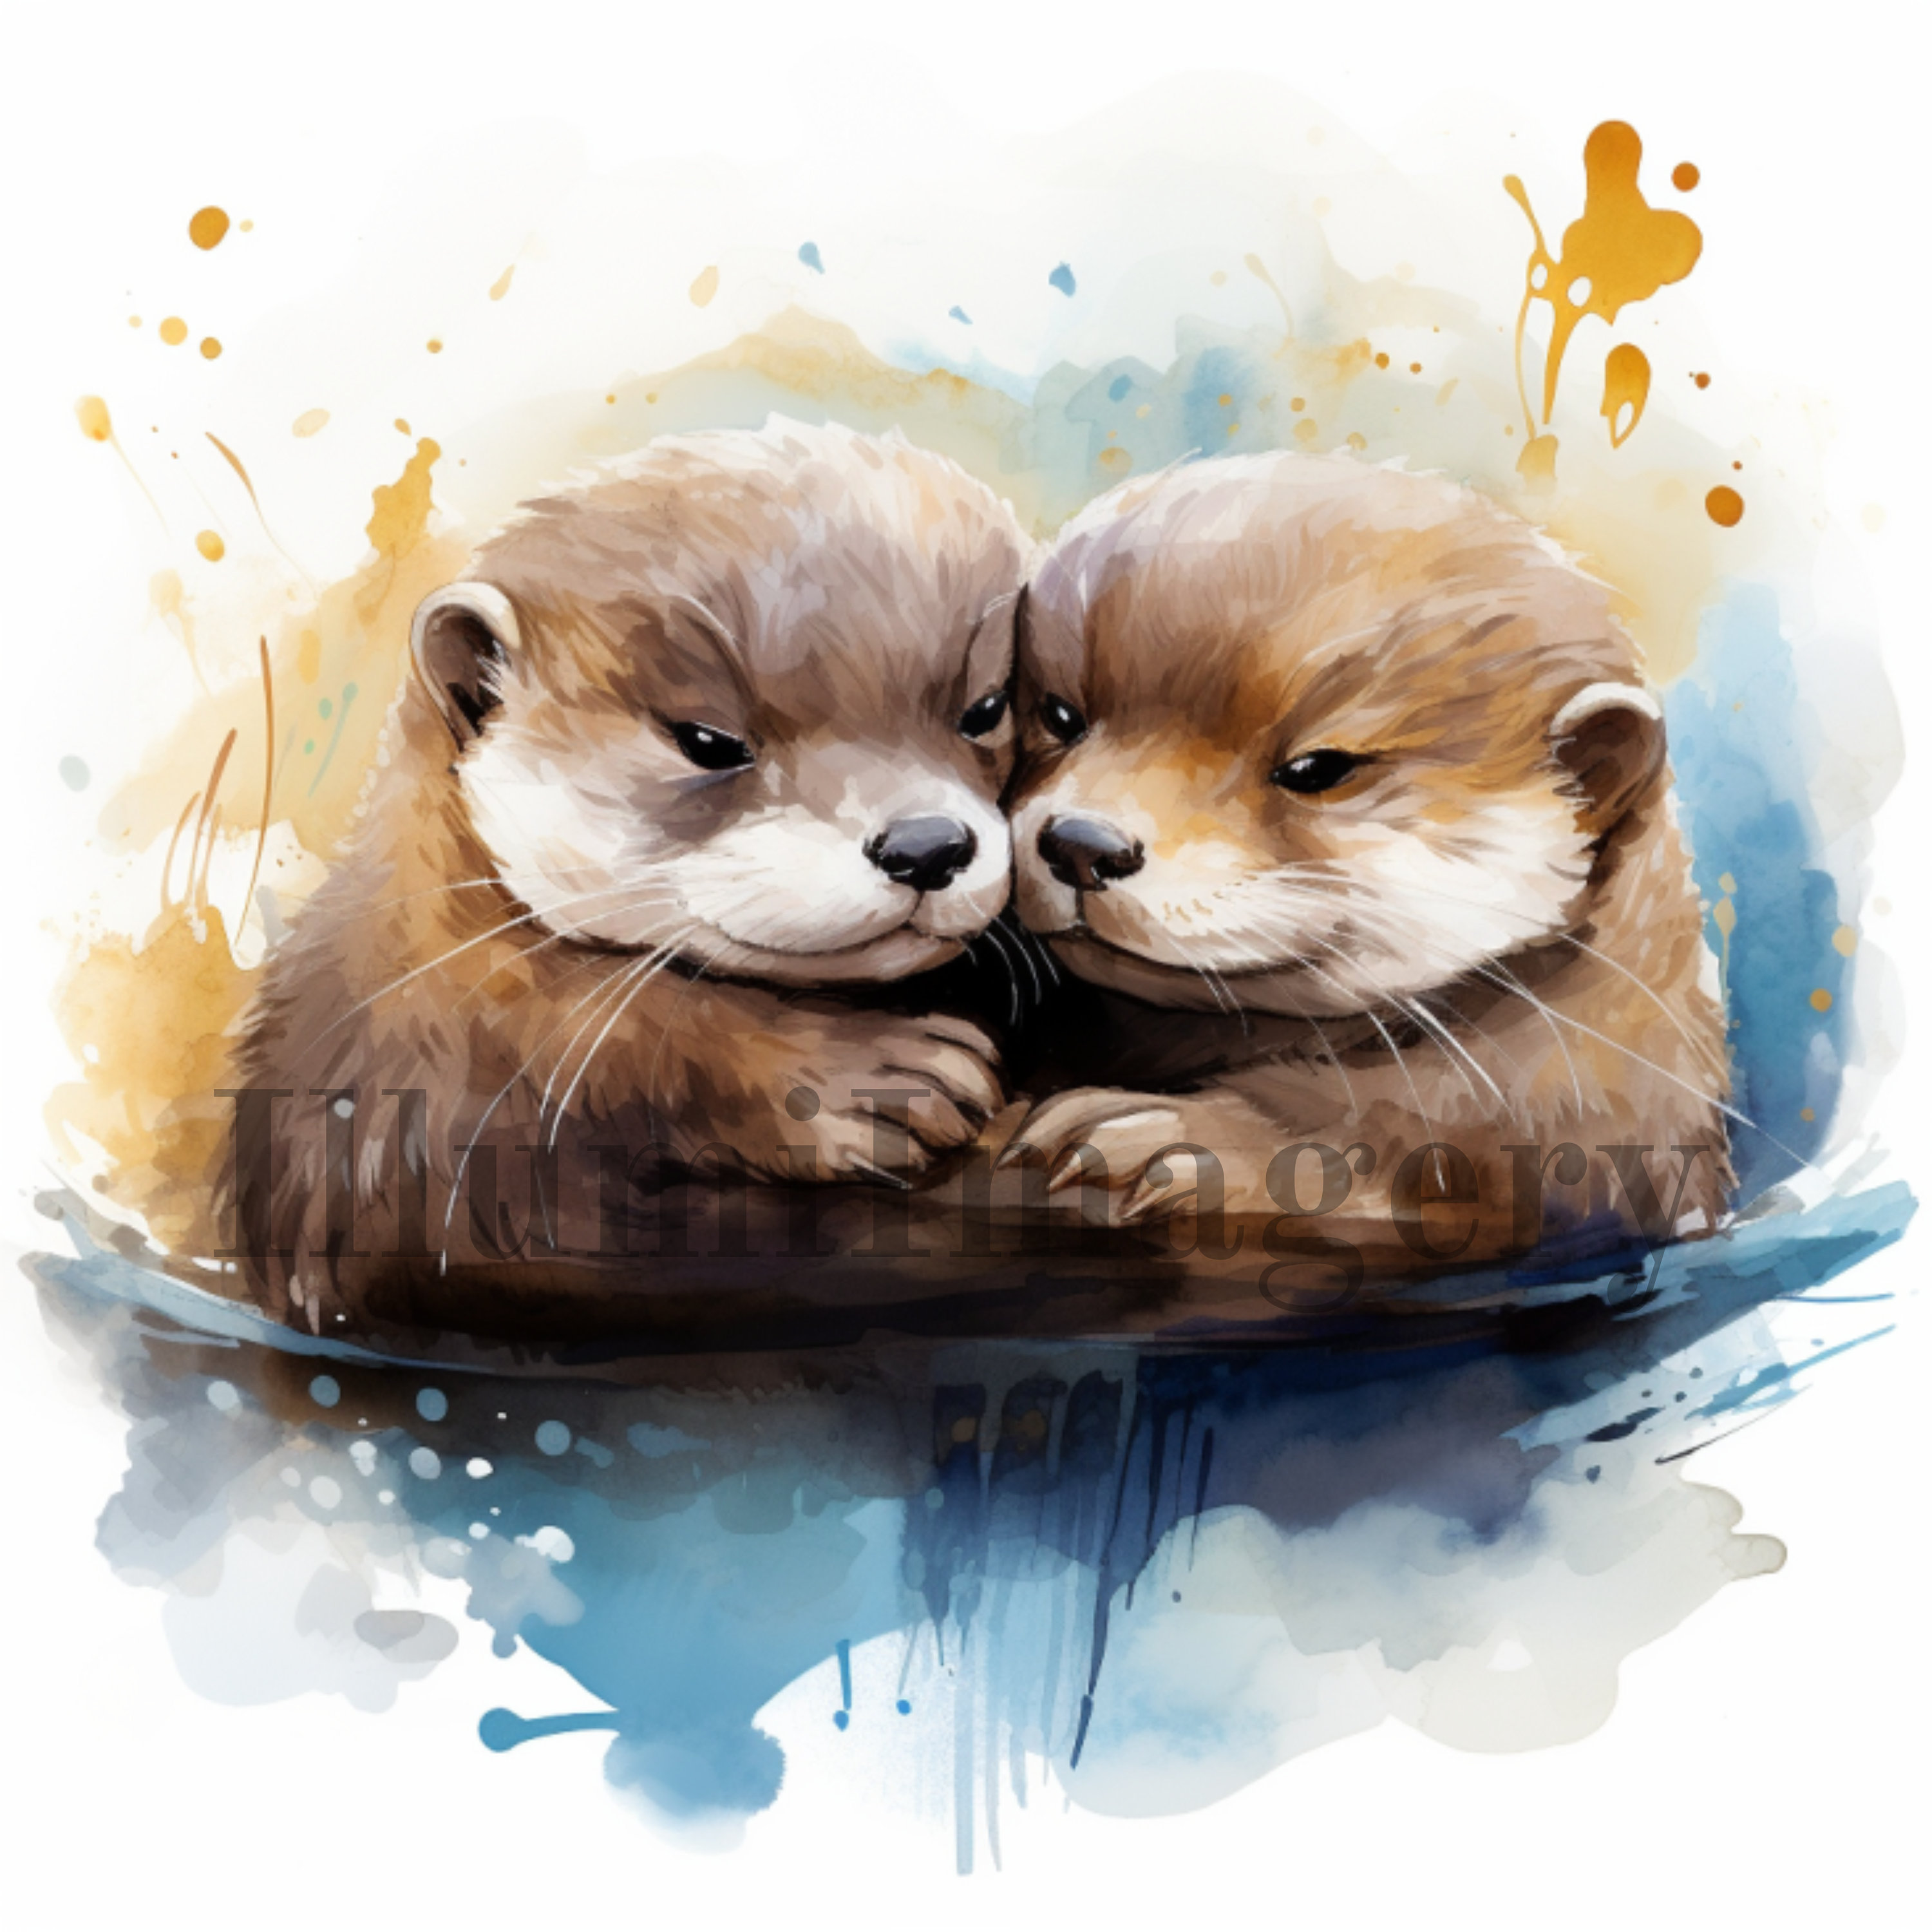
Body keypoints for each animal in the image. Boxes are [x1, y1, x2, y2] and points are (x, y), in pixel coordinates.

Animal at [1003, 452, 1733, 1275]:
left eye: (1318, 767)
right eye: (1061, 714)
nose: (1083, 843)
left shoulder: (1565, 1131)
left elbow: (1403, 1170)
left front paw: (1156, 1139)